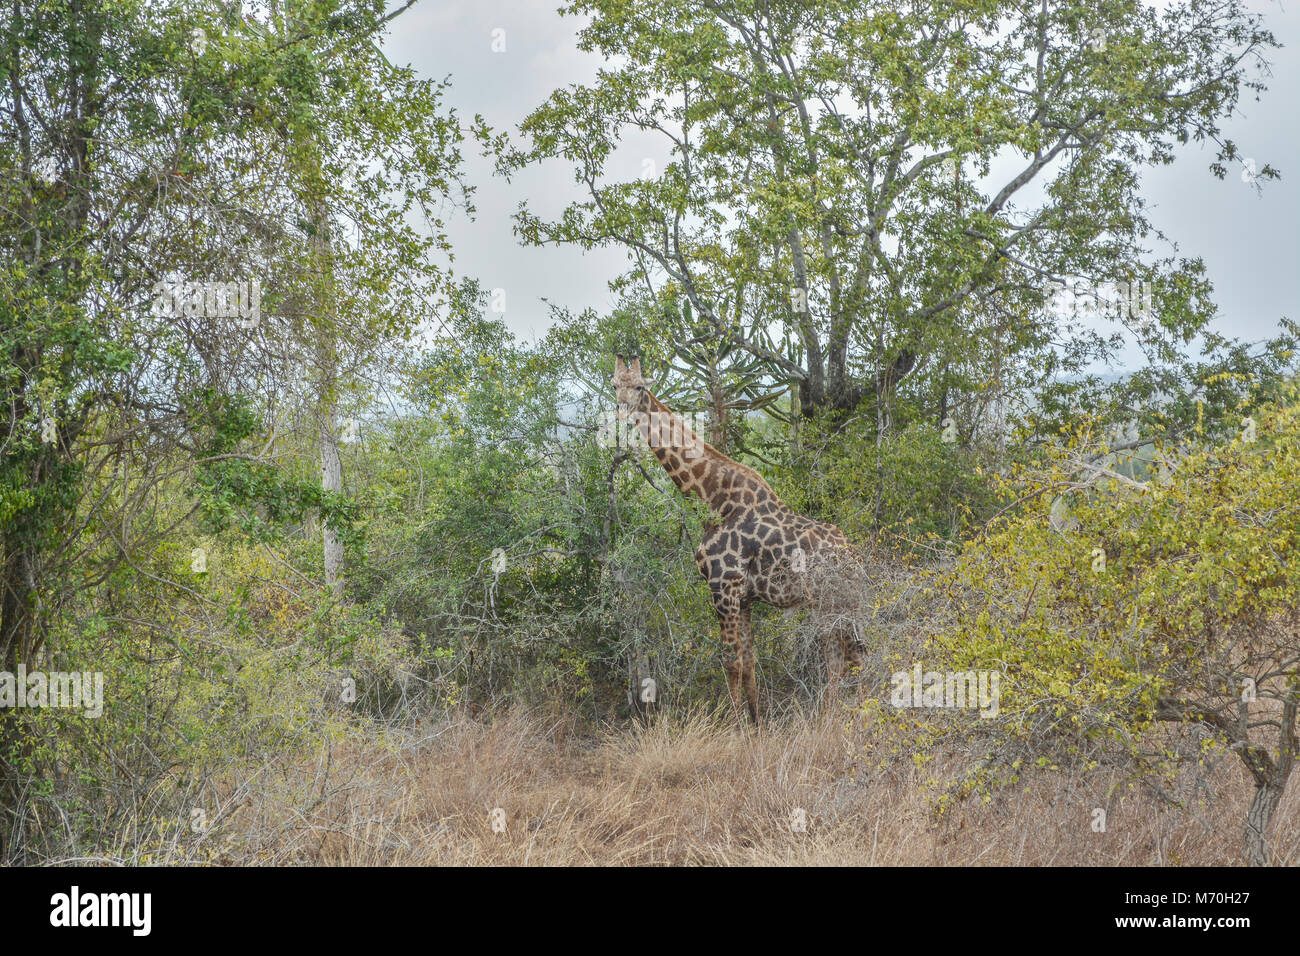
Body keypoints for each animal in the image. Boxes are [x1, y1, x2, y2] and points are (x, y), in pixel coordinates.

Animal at [610, 355, 864, 726]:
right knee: (849, 656)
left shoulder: (723, 587)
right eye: (615, 384)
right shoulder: (743, 598)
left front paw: (736, 728)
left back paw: (838, 720)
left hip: (831, 603)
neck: (712, 499)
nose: (622, 413)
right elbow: (749, 664)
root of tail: (855, 559)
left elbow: (730, 663)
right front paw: (757, 724)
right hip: (837, 605)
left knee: (842, 658)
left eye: (640, 386)